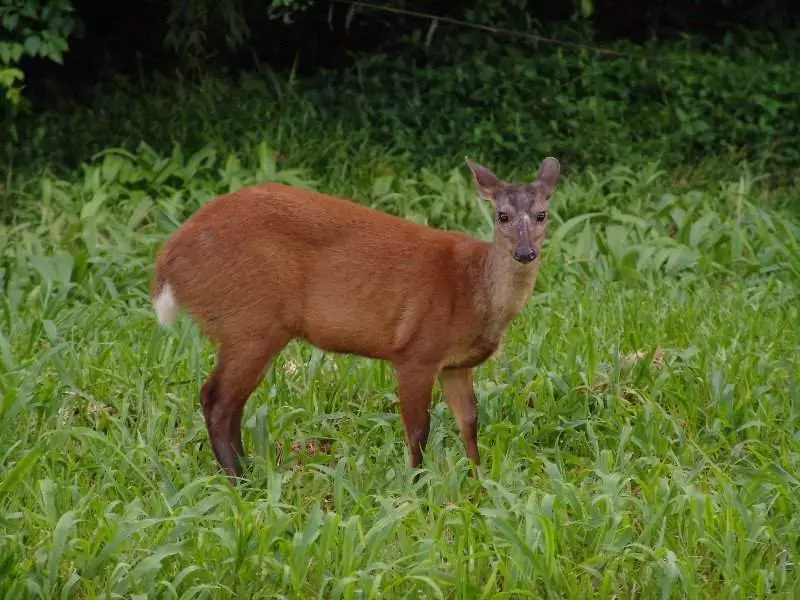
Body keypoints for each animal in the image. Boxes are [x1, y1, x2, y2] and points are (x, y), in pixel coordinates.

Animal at [152, 156, 564, 482]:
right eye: (502, 215)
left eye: (542, 214)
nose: (525, 252)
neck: (475, 291)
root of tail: (169, 258)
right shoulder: (416, 351)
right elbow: (419, 429)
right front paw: (416, 488)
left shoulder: (455, 365)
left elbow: (469, 423)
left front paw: (479, 483)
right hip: (251, 320)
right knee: (216, 399)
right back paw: (240, 480)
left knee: (229, 403)